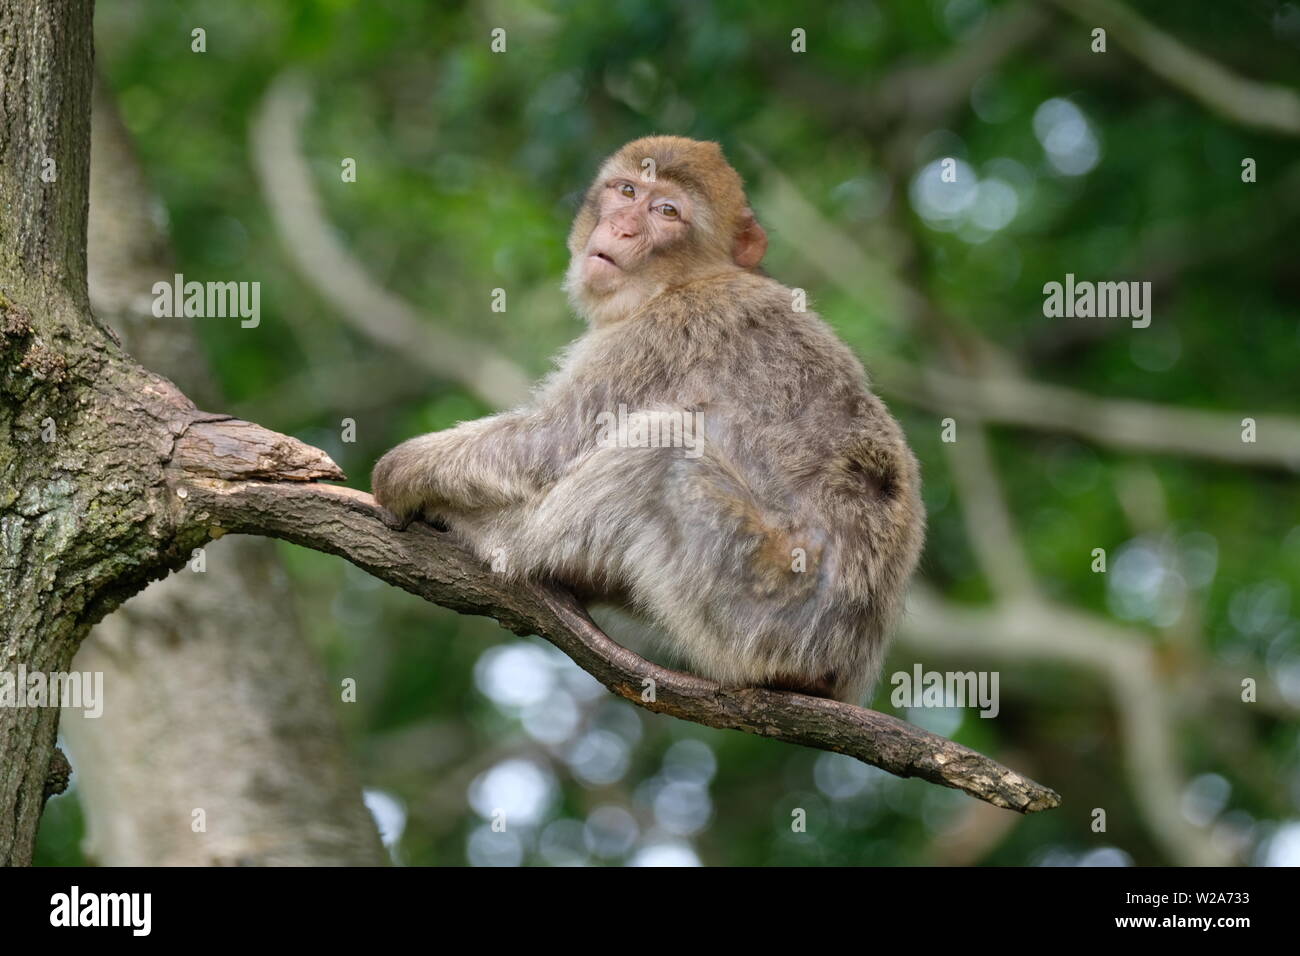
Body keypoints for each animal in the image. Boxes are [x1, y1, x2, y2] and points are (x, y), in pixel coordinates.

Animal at [372, 136, 924, 704]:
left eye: (667, 212)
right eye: (627, 191)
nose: (623, 228)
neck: (686, 280)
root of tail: (839, 669)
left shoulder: (663, 332)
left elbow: (550, 442)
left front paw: (402, 471)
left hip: (763, 600)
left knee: (663, 449)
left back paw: (508, 543)